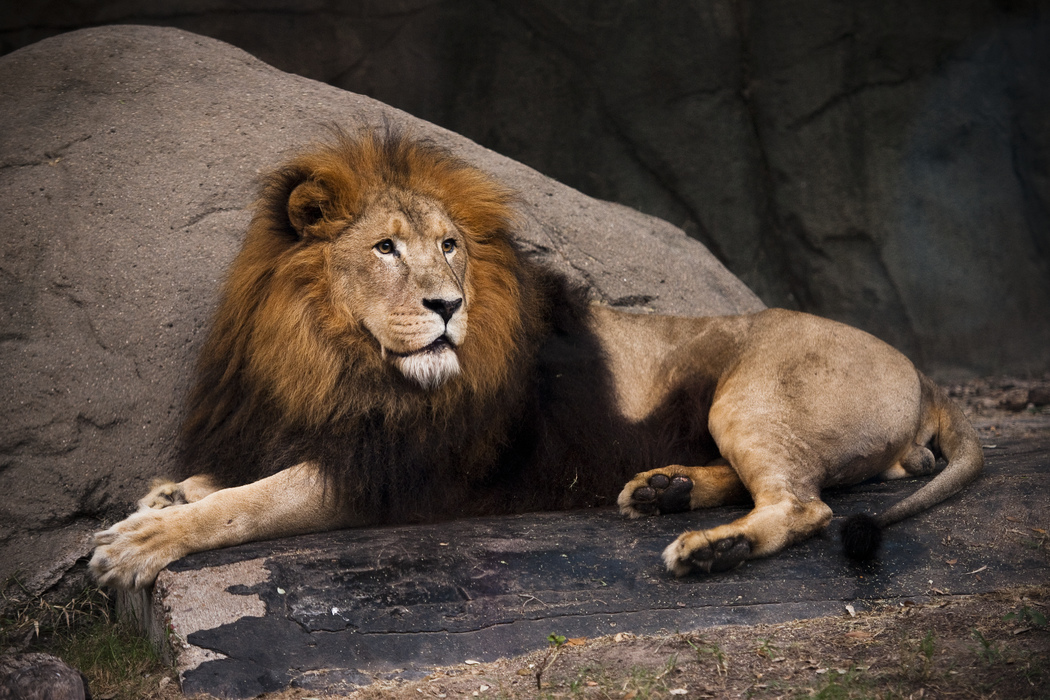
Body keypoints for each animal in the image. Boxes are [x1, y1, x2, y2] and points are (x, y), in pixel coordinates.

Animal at [90, 130, 984, 589]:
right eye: (386, 248)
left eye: (450, 246)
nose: (447, 305)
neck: (332, 356)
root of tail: (927, 378)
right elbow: (233, 479)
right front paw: (169, 492)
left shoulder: (390, 473)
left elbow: (251, 502)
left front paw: (144, 540)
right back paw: (665, 490)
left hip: (751, 393)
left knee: (807, 505)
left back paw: (709, 547)